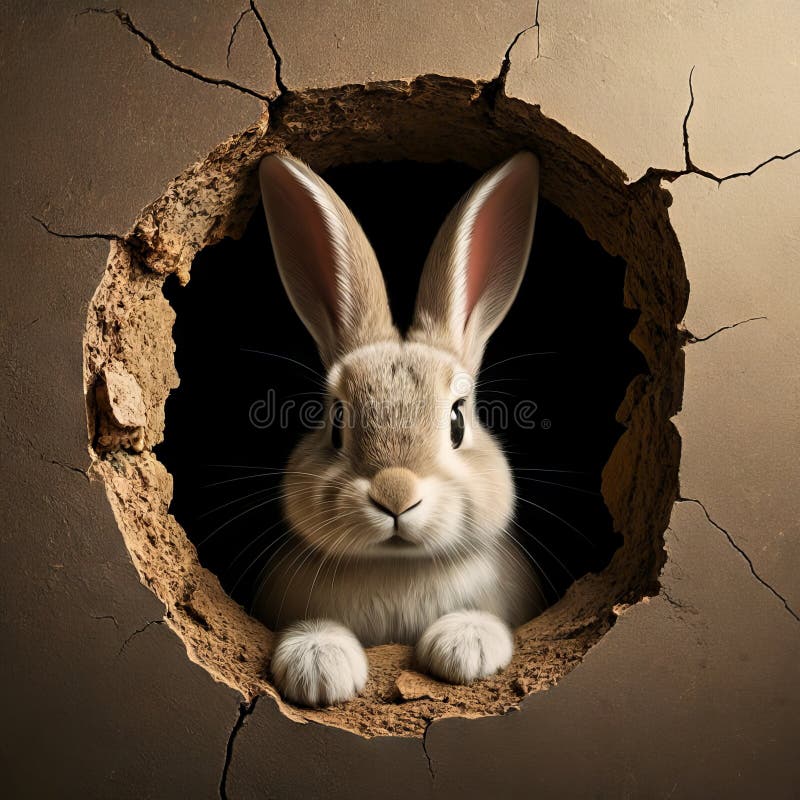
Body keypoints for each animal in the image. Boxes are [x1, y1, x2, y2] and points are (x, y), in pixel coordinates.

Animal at [253, 151, 543, 707]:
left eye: (457, 421)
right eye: (336, 421)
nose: (395, 494)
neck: (397, 565)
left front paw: (464, 647)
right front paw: (319, 666)